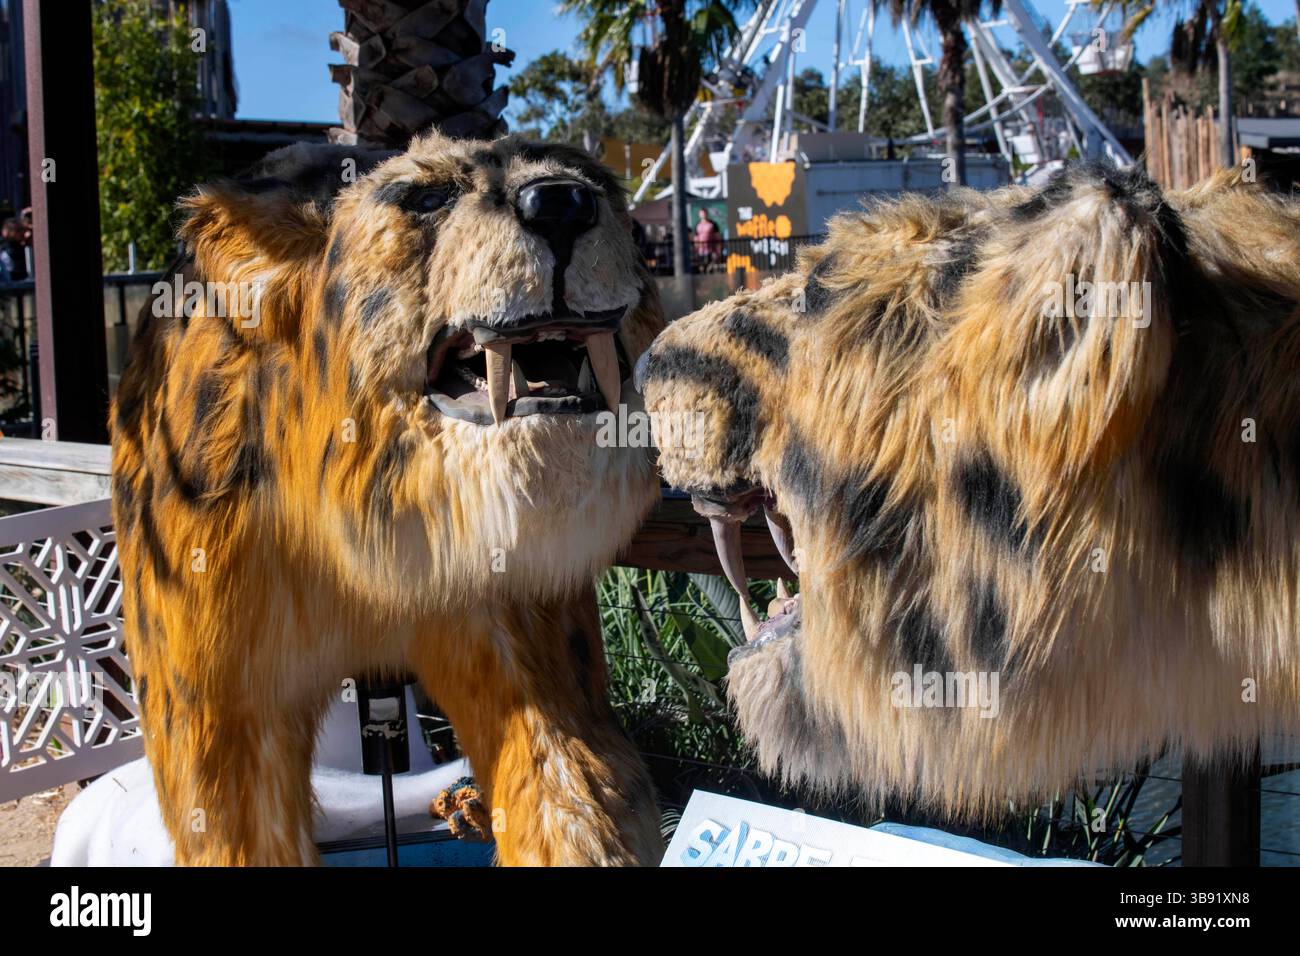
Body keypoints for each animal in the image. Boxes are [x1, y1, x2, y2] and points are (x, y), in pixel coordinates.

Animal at [110, 133, 665, 865]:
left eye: (597, 182)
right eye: (425, 198)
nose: (561, 202)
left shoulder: (520, 631)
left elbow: (572, 797)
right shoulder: (218, 705)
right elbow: (236, 828)